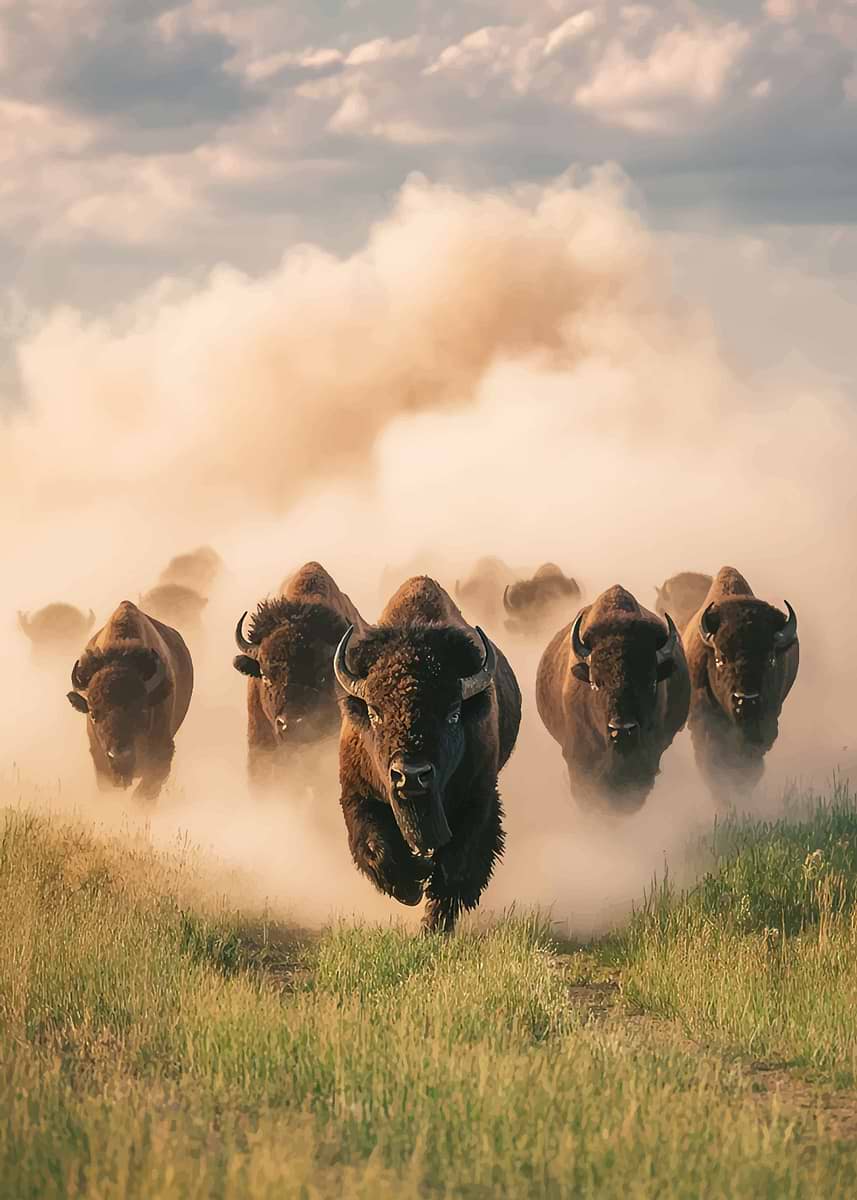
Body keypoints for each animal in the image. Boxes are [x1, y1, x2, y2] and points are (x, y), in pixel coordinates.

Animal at [334, 576, 522, 933]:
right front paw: (411, 887)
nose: (411, 775)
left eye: (453, 714)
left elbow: (456, 865)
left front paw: (433, 925)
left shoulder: (478, 799)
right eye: (375, 713)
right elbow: (376, 849)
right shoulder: (358, 794)